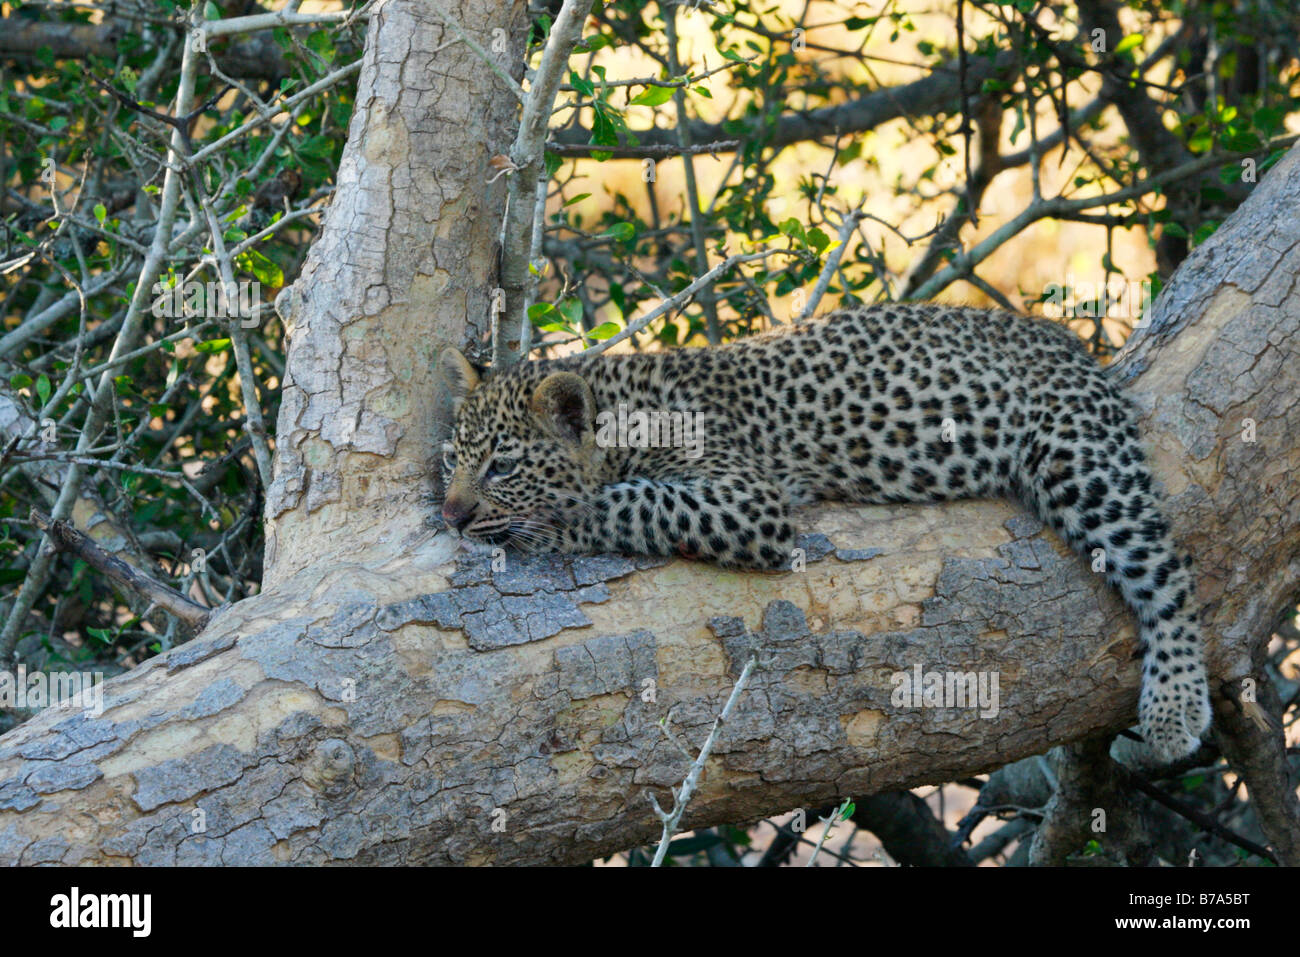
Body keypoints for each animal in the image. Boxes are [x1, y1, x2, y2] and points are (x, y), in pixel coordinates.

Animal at [438, 303, 1211, 761]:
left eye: (503, 465)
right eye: (453, 457)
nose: (451, 514)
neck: (624, 413)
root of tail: (1065, 337)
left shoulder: (749, 501)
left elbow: (627, 501)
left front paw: (545, 525)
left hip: (1078, 458)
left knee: (1170, 575)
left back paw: (1174, 708)